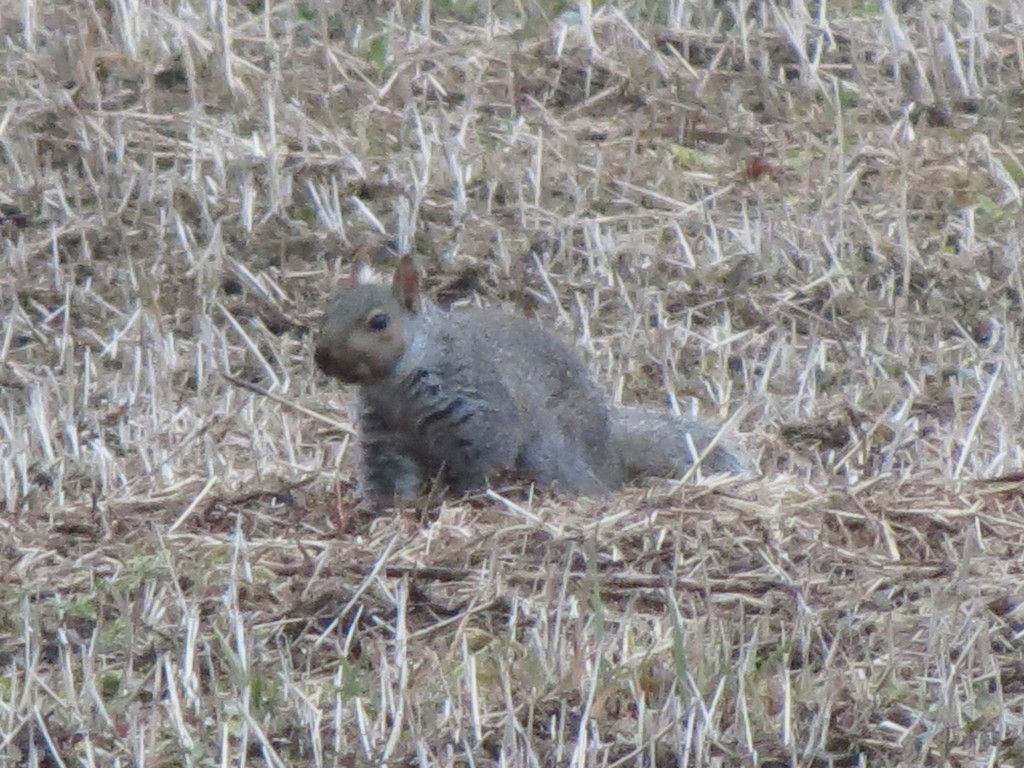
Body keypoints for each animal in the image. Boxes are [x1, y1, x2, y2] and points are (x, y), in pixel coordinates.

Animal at [314, 256, 753, 506]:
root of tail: (608, 454)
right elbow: (387, 476)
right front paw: (383, 512)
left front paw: (468, 497)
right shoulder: (383, 434)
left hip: (552, 452)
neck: (395, 385)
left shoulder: (479, 408)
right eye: (328, 309)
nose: (322, 357)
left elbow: (485, 458)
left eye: (379, 322)